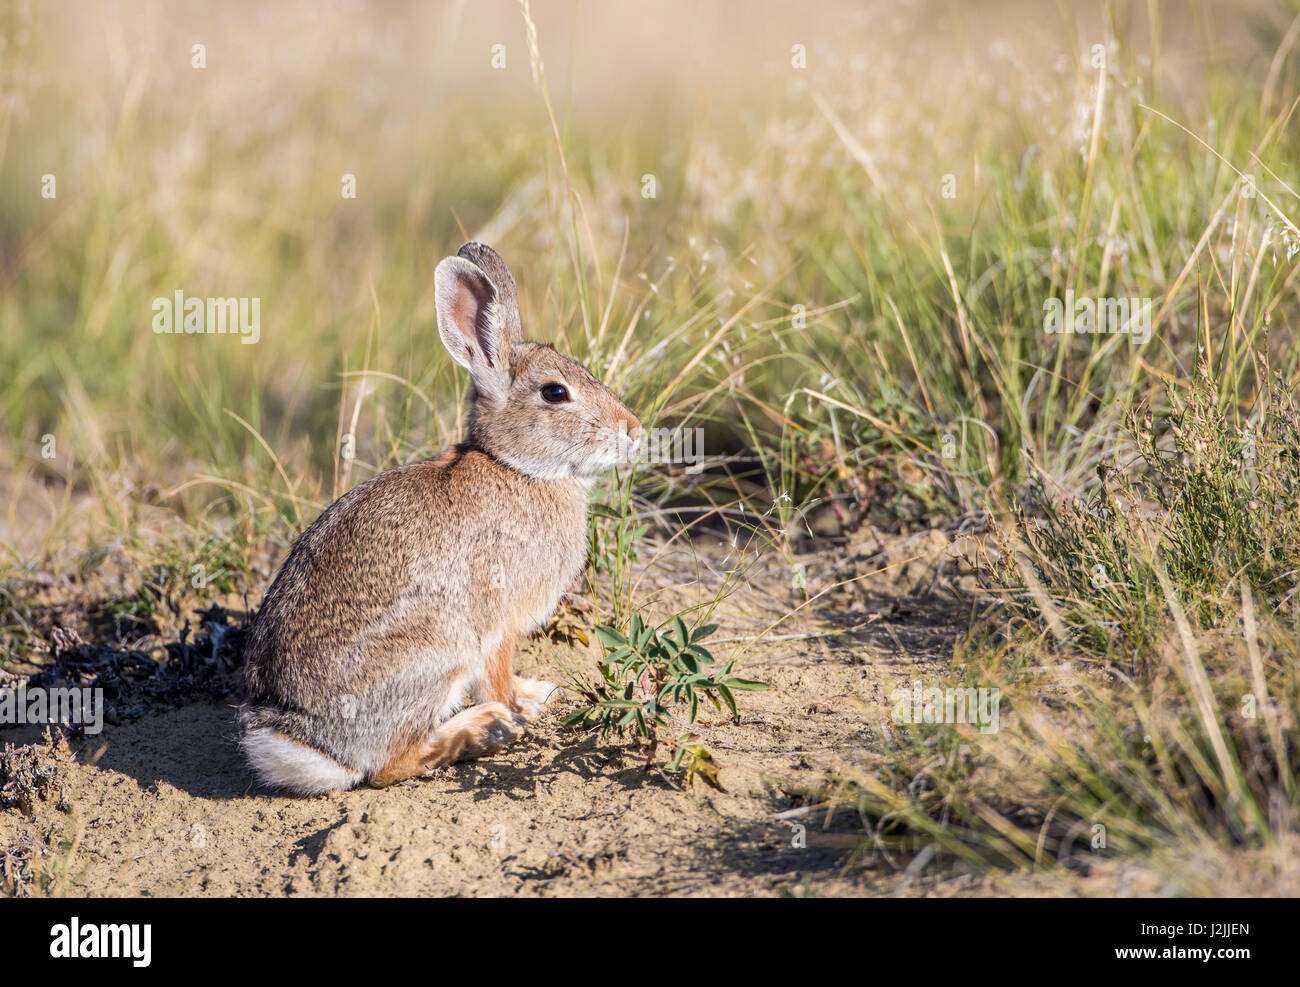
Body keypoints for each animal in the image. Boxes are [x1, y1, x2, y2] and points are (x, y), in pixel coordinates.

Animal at [238, 242, 643, 795]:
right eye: (555, 392)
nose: (634, 431)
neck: (515, 466)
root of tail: (312, 744)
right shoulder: (498, 621)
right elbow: (497, 676)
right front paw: (518, 709)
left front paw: (535, 691)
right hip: (437, 649)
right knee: (389, 767)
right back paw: (485, 730)